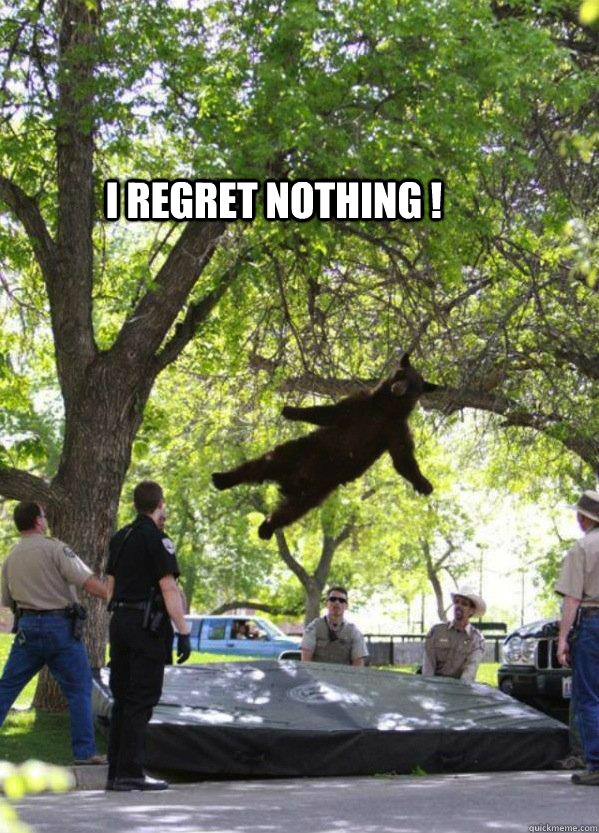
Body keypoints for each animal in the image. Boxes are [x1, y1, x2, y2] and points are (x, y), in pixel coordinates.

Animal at [212, 353, 439, 540]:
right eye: (401, 375)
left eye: (413, 385)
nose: (398, 387)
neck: (386, 408)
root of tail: (290, 482)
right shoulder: (361, 405)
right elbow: (329, 412)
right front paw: (291, 410)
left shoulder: (394, 428)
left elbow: (403, 457)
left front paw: (424, 484)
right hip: (298, 452)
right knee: (259, 465)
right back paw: (223, 478)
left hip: (316, 491)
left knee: (290, 511)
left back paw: (266, 528)